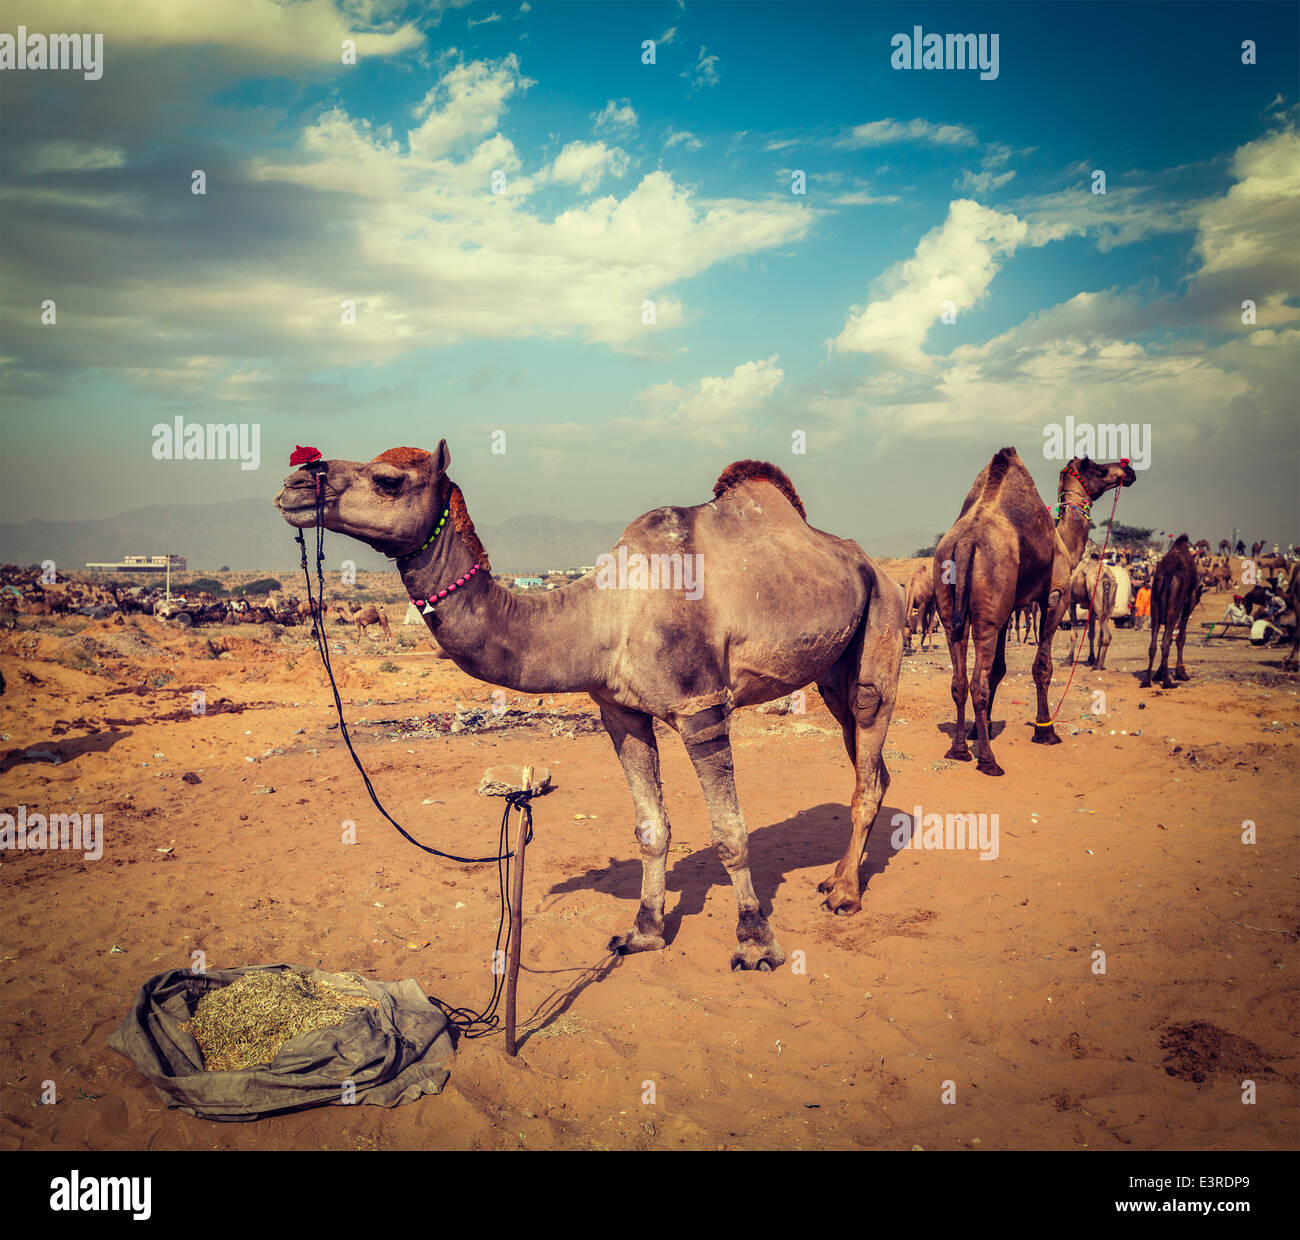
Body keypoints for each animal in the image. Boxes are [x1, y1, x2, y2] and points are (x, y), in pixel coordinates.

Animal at [276, 442, 905, 970]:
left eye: (387, 479)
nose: (295, 482)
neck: (606, 610)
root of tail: (873, 565)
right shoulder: (619, 713)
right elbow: (651, 828)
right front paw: (643, 933)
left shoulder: (701, 707)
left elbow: (730, 832)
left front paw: (754, 943)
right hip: (831, 673)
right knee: (871, 765)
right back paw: (834, 879)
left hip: (882, 622)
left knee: (868, 742)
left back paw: (844, 895)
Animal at [933, 449, 1135, 776]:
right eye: (1098, 469)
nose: (1127, 471)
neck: (1063, 543)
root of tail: (965, 543)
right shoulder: (1055, 596)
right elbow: (1042, 667)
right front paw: (1045, 730)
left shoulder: (1007, 609)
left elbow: (999, 669)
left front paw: (981, 728)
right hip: (988, 608)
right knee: (977, 684)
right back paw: (989, 761)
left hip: (951, 605)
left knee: (959, 681)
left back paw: (959, 751)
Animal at [1139, 535, 1202, 688]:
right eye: (1197, 600)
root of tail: (1168, 573)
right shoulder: (1189, 601)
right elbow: (1180, 638)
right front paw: (1181, 674)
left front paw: (1159, 674)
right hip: (1174, 606)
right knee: (1166, 643)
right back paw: (1168, 682)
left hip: (1155, 604)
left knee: (1154, 644)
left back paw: (1147, 681)